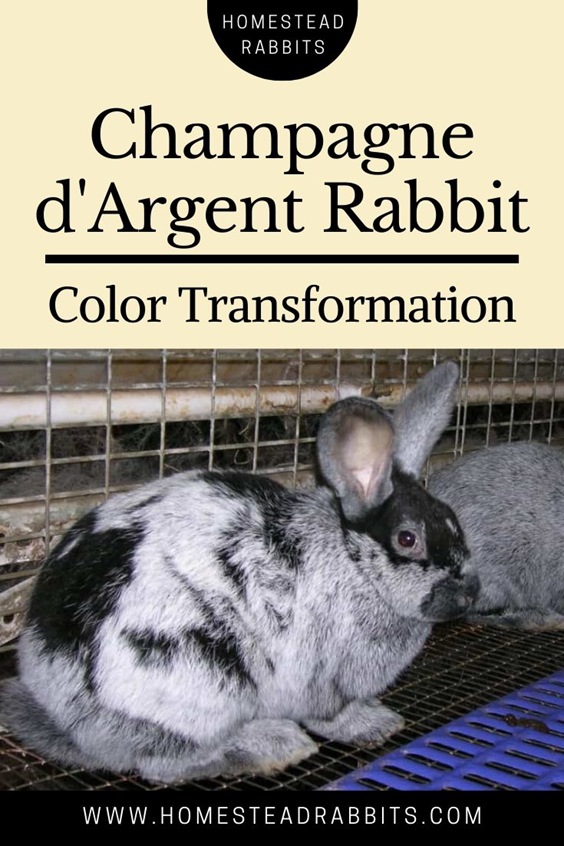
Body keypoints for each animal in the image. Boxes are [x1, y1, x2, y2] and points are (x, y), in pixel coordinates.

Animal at [0, 361, 478, 784]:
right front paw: (377, 724)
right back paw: (278, 745)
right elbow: (333, 716)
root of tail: (63, 711)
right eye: (407, 539)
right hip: (203, 684)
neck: (354, 564)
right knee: (165, 763)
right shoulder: (322, 683)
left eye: (455, 520)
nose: (471, 592)